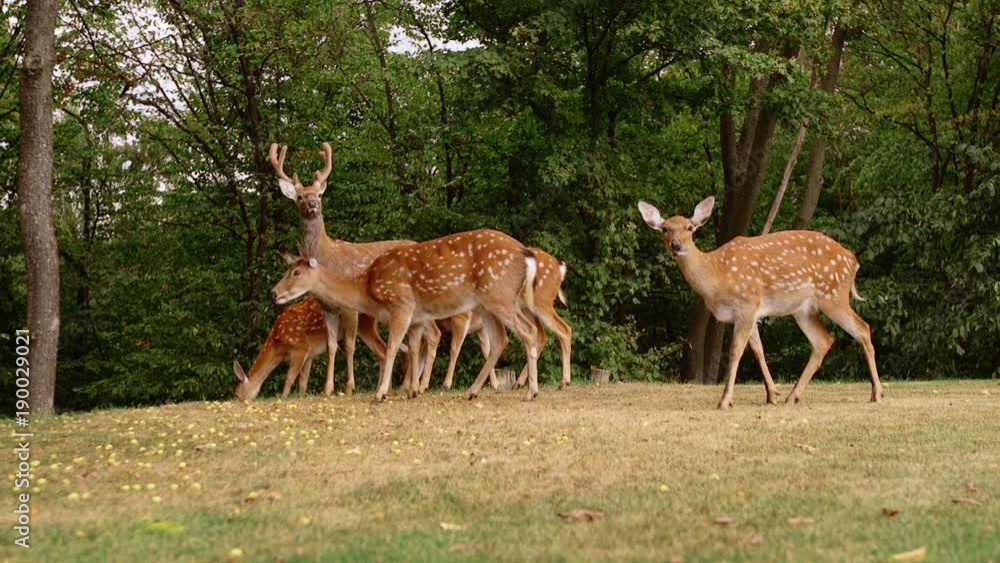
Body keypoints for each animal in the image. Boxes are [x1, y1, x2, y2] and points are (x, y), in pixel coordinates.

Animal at [271, 229, 544, 402]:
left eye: (295, 272)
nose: (274, 293)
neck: (367, 288)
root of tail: (526, 253)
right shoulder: (417, 318)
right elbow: (412, 348)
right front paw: (412, 391)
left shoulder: (401, 305)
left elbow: (393, 347)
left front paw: (381, 393)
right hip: (490, 303)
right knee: (502, 340)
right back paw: (472, 392)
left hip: (499, 296)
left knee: (529, 332)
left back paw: (529, 392)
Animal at [638, 196, 883, 409]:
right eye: (665, 228)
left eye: (689, 227)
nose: (676, 245)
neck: (717, 276)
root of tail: (853, 260)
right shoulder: (749, 313)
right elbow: (757, 349)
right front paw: (772, 394)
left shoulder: (747, 304)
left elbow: (736, 350)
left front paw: (725, 400)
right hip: (803, 309)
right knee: (823, 340)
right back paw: (792, 396)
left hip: (833, 295)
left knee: (863, 328)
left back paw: (877, 393)